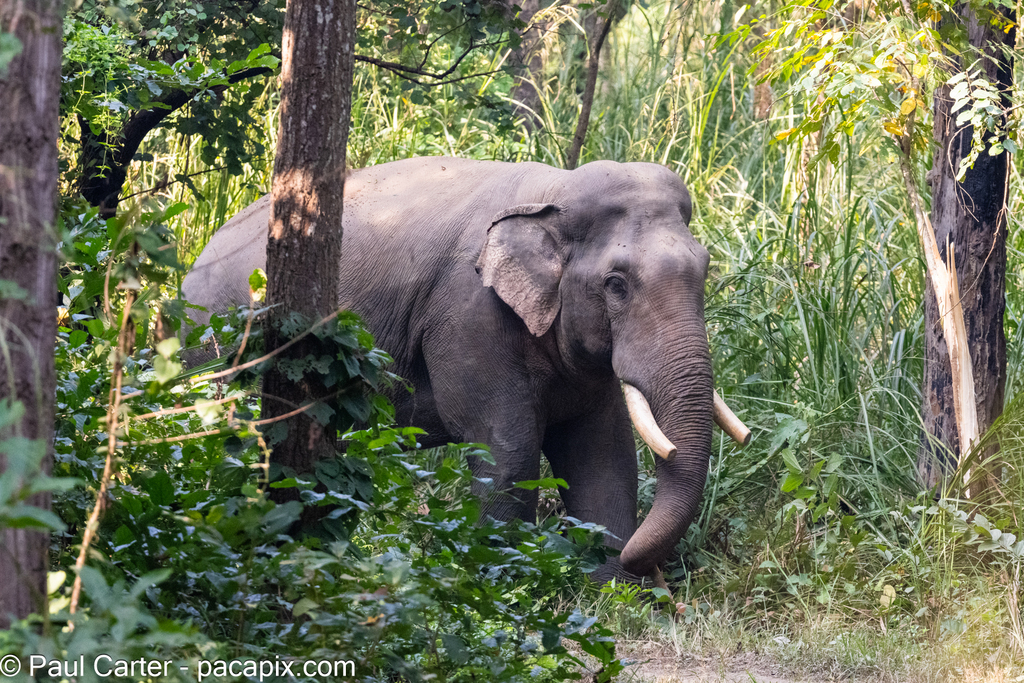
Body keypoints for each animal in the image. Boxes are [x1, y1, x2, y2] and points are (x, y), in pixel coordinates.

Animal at [182, 156, 749, 579]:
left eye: (704, 268)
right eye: (616, 284)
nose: (651, 569)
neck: (553, 192)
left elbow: (602, 450)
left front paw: (616, 590)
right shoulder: (468, 316)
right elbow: (507, 445)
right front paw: (507, 582)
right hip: (217, 347)